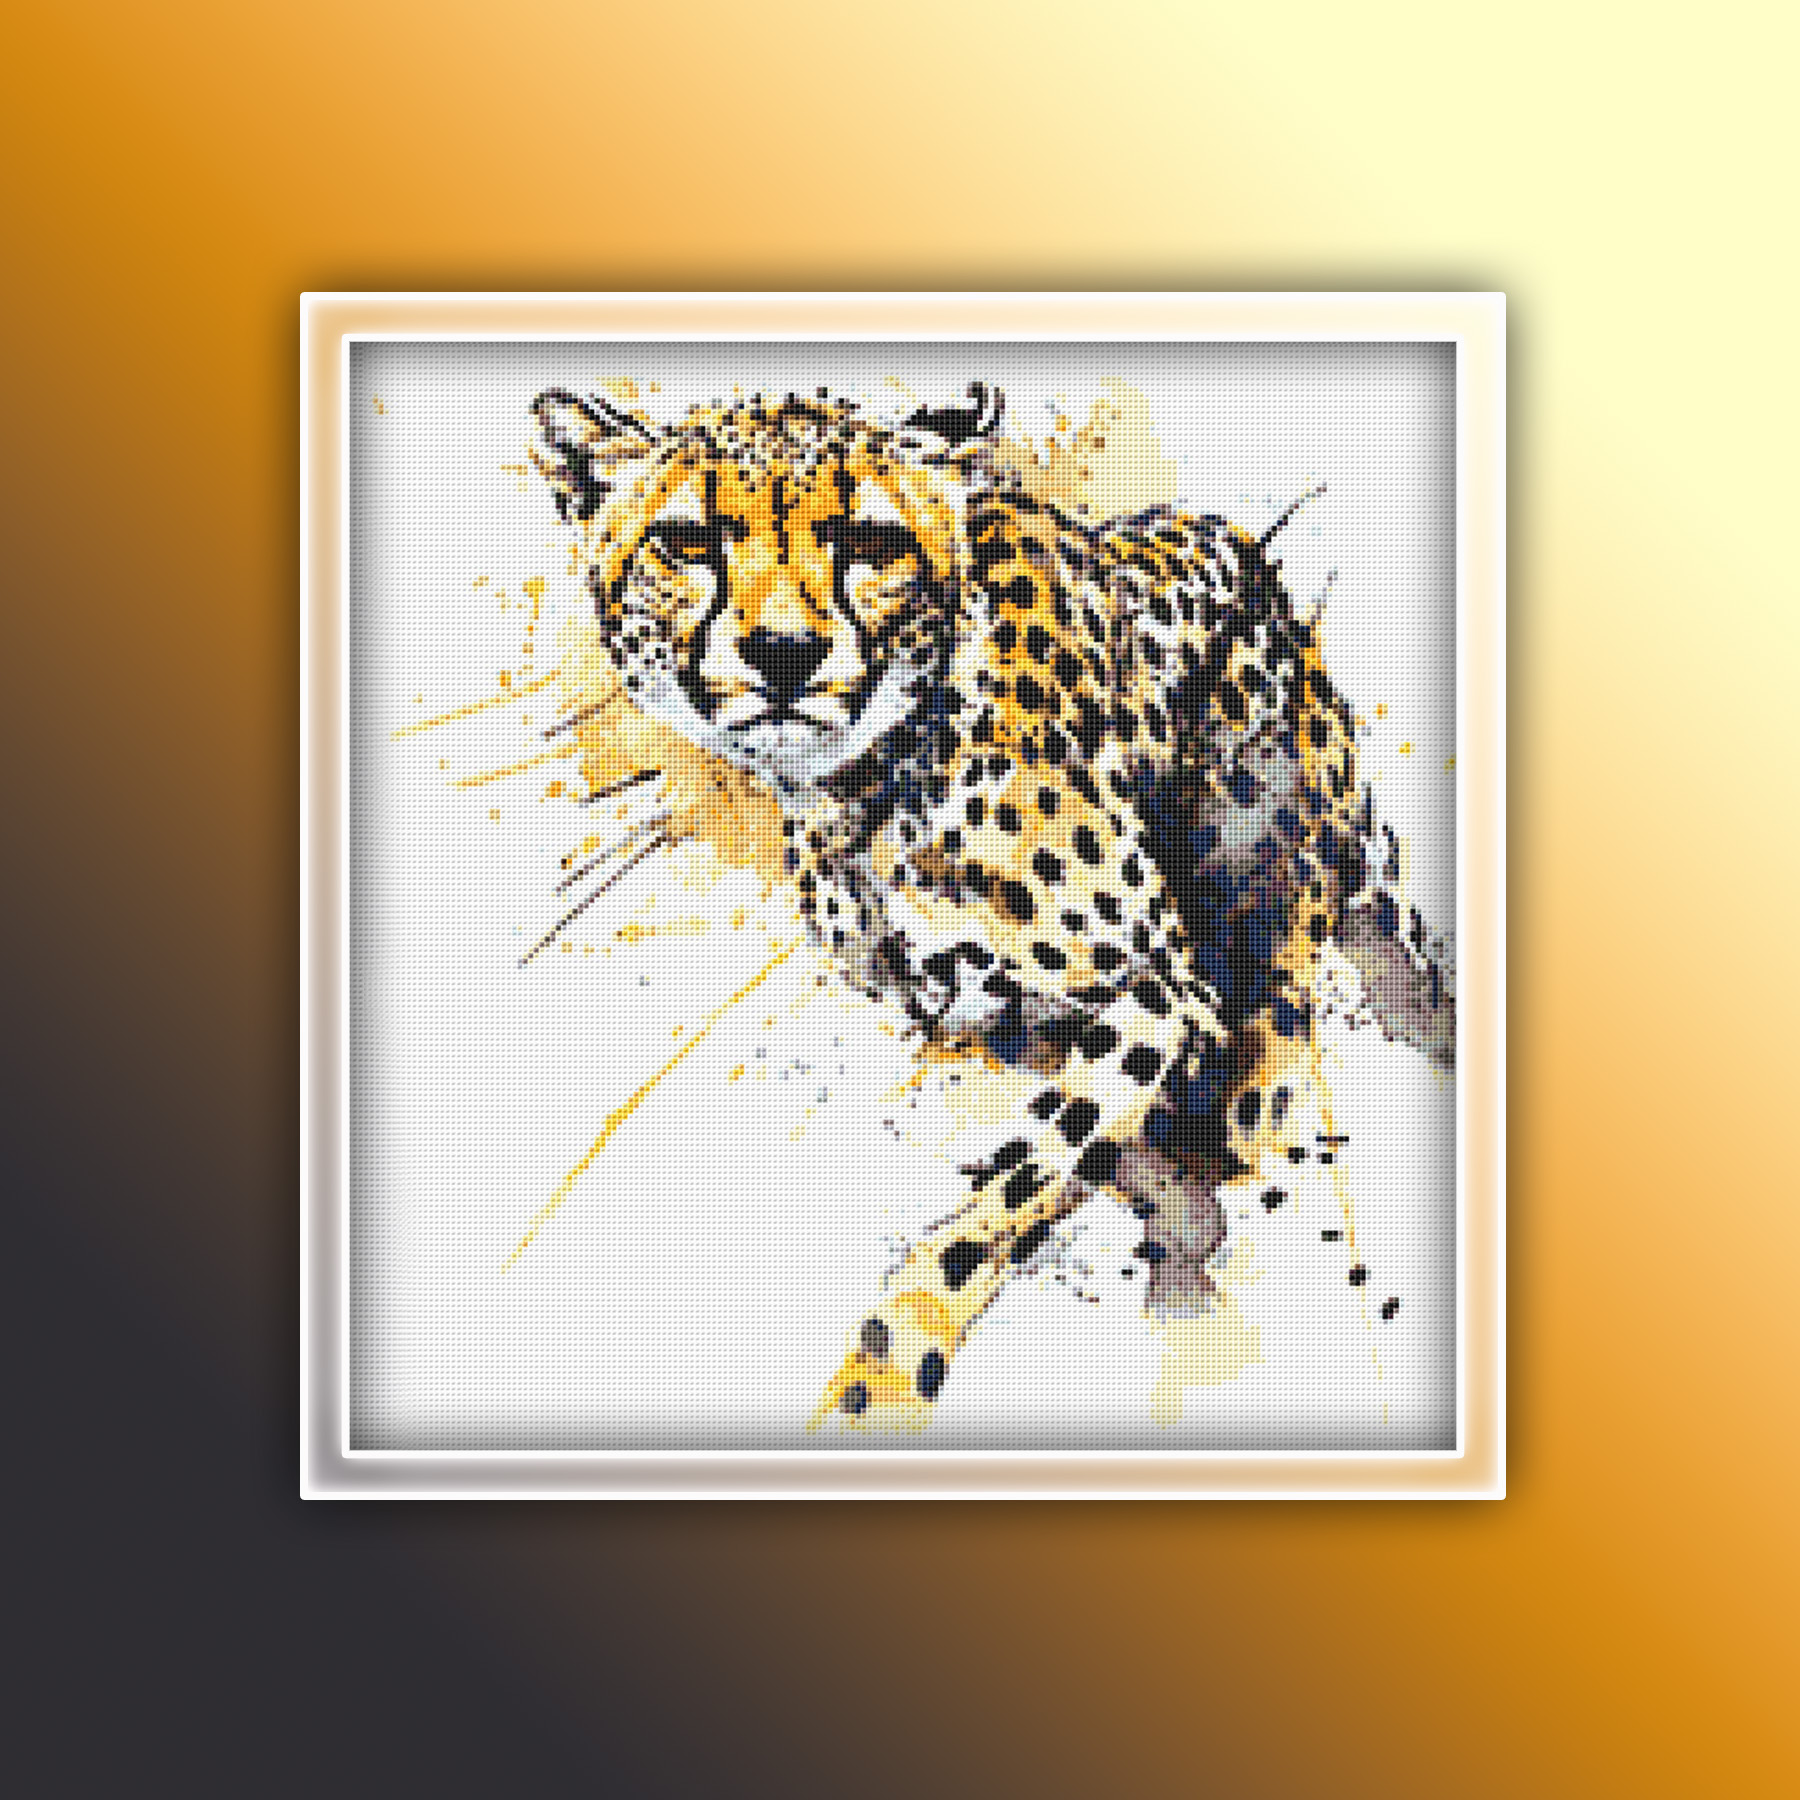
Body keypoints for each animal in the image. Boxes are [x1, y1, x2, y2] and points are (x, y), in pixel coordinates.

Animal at [529, 380, 1455, 1426]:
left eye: (870, 541)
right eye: (687, 541)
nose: (784, 654)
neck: (866, 788)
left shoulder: (1159, 991)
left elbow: (1019, 1184)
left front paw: (880, 1381)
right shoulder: (1000, 1021)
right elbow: (1107, 1165)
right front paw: (1187, 1236)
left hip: (1334, 871)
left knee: (1356, 1022)